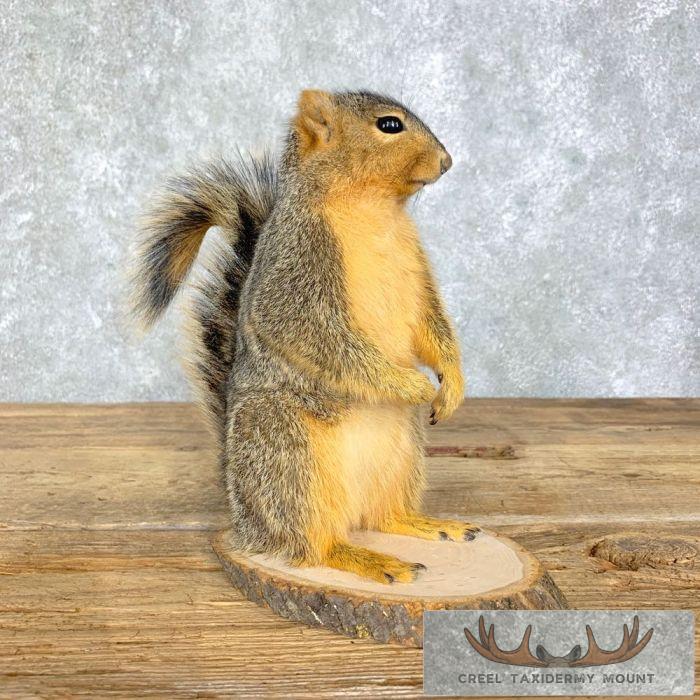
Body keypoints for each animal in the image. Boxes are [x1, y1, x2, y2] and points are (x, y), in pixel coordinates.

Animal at [131, 89, 478, 584]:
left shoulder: (418, 272)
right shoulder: (296, 267)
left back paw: (425, 525)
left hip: (402, 455)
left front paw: (452, 384)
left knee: (383, 517)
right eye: (389, 125)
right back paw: (367, 559)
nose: (447, 162)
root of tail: (242, 513)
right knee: (312, 544)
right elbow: (315, 335)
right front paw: (410, 383)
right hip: (288, 453)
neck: (372, 209)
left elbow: (433, 327)